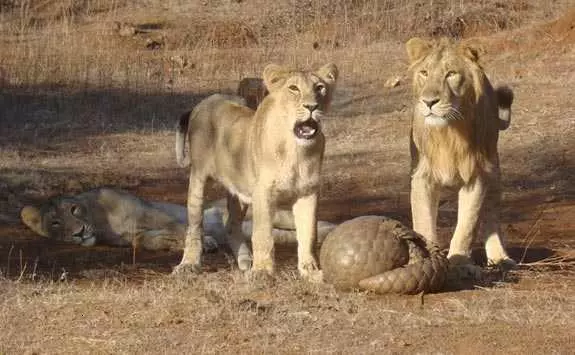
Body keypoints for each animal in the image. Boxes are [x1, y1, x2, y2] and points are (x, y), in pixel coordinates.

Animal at [176, 64, 338, 280]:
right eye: (293, 88)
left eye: (320, 87)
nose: (312, 107)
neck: (296, 151)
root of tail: (202, 103)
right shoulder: (263, 192)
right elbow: (262, 235)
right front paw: (262, 272)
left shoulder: (308, 193)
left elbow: (309, 233)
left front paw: (310, 271)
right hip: (199, 178)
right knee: (194, 226)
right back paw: (189, 264)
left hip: (239, 188)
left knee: (231, 225)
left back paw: (245, 261)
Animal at [404, 37, 516, 276]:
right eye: (424, 73)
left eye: (451, 74)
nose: (429, 102)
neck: (448, 133)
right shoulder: (421, 176)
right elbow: (423, 221)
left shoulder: (477, 175)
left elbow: (467, 224)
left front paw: (460, 262)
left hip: (494, 170)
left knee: (492, 215)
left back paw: (500, 258)